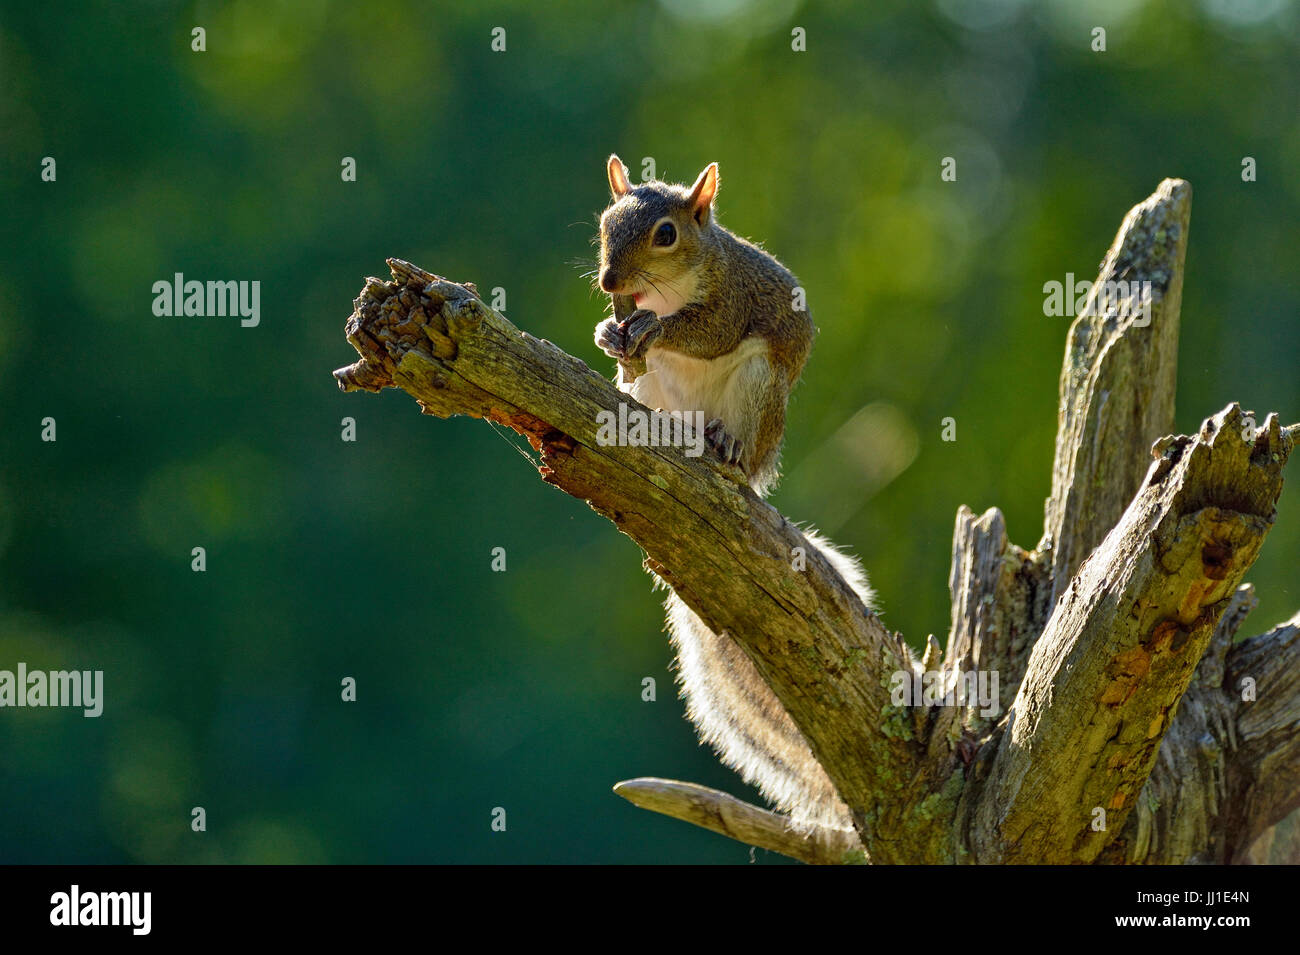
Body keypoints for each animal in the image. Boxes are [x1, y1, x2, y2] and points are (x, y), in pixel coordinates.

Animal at [592, 155, 876, 833]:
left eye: (667, 233)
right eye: (606, 222)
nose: (610, 278)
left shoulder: (731, 300)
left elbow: (705, 332)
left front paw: (655, 327)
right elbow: (628, 342)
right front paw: (611, 333)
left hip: (758, 388)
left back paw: (723, 447)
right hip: (656, 395)